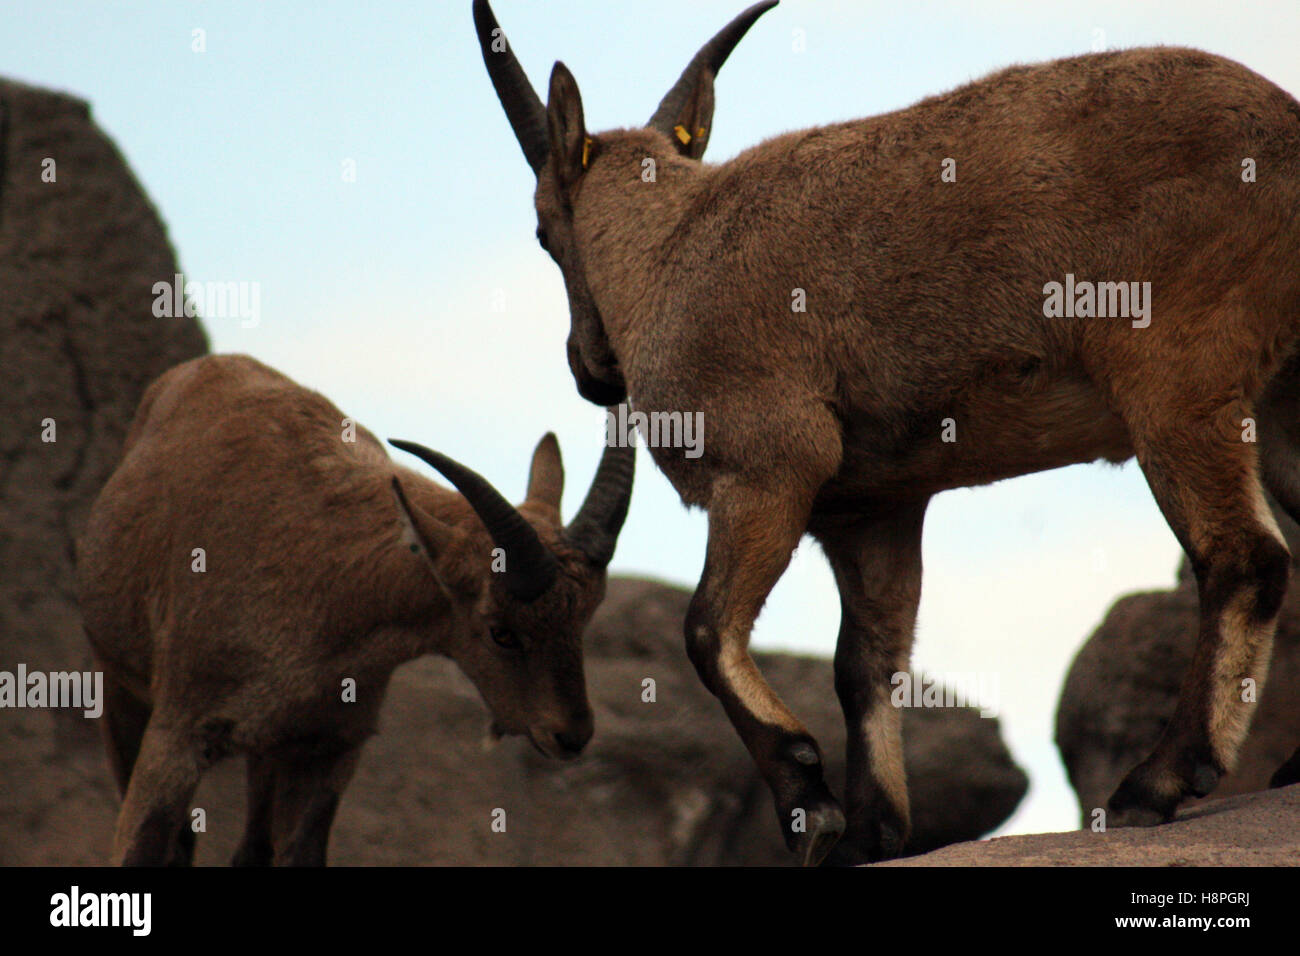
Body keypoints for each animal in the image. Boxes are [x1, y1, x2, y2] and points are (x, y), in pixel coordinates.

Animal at [76, 353, 634, 865]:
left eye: (584, 617)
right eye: (500, 631)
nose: (571, 736)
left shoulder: (329, 749)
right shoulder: (177, 734)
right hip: (121, 684)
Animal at [474, 0, 1300, 864]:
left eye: (544, 230)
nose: (589, 371)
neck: (669, 253)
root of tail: (1287, 133)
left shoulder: (767, 467)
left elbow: (706, 628)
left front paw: (810, 801)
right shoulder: (874, 509)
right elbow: (865, 663)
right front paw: (875, 830)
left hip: (1177, 375)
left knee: (1247, 558)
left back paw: (1155, 782)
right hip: (1283, 392)